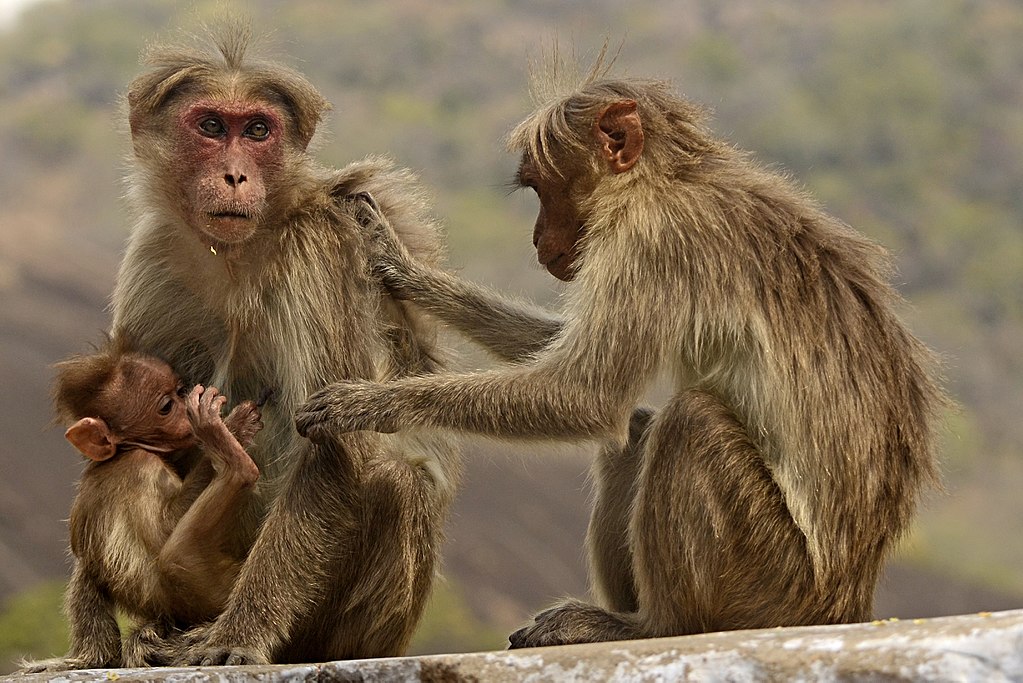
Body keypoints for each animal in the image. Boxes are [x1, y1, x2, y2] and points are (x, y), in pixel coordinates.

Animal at [21, 344, 262, 672]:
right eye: (166, 406)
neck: (125, 450)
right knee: (176, 557)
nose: (185, 407)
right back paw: (234, 463)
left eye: (179, 391)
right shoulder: (141, 468)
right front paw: (230, 429)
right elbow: (165, 531)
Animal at [105, 22, 460, 666]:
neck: (237, 251)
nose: (235, 176)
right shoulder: (153, 256)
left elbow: (332, 446)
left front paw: (239, 636)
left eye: (257, 130)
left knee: (395, 476)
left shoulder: (312, 253)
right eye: (211, 126)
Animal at [295, 60, 943, 647]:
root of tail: (846, 601)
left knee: (690, 423)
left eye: (543, 188)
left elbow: (586, 395)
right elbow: (572, 359)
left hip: (774, 583)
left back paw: (652, 625)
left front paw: (372, 405)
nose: (538, 239)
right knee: (637, 432)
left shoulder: (652, 240)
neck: (664, 180)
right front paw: (401, 268)